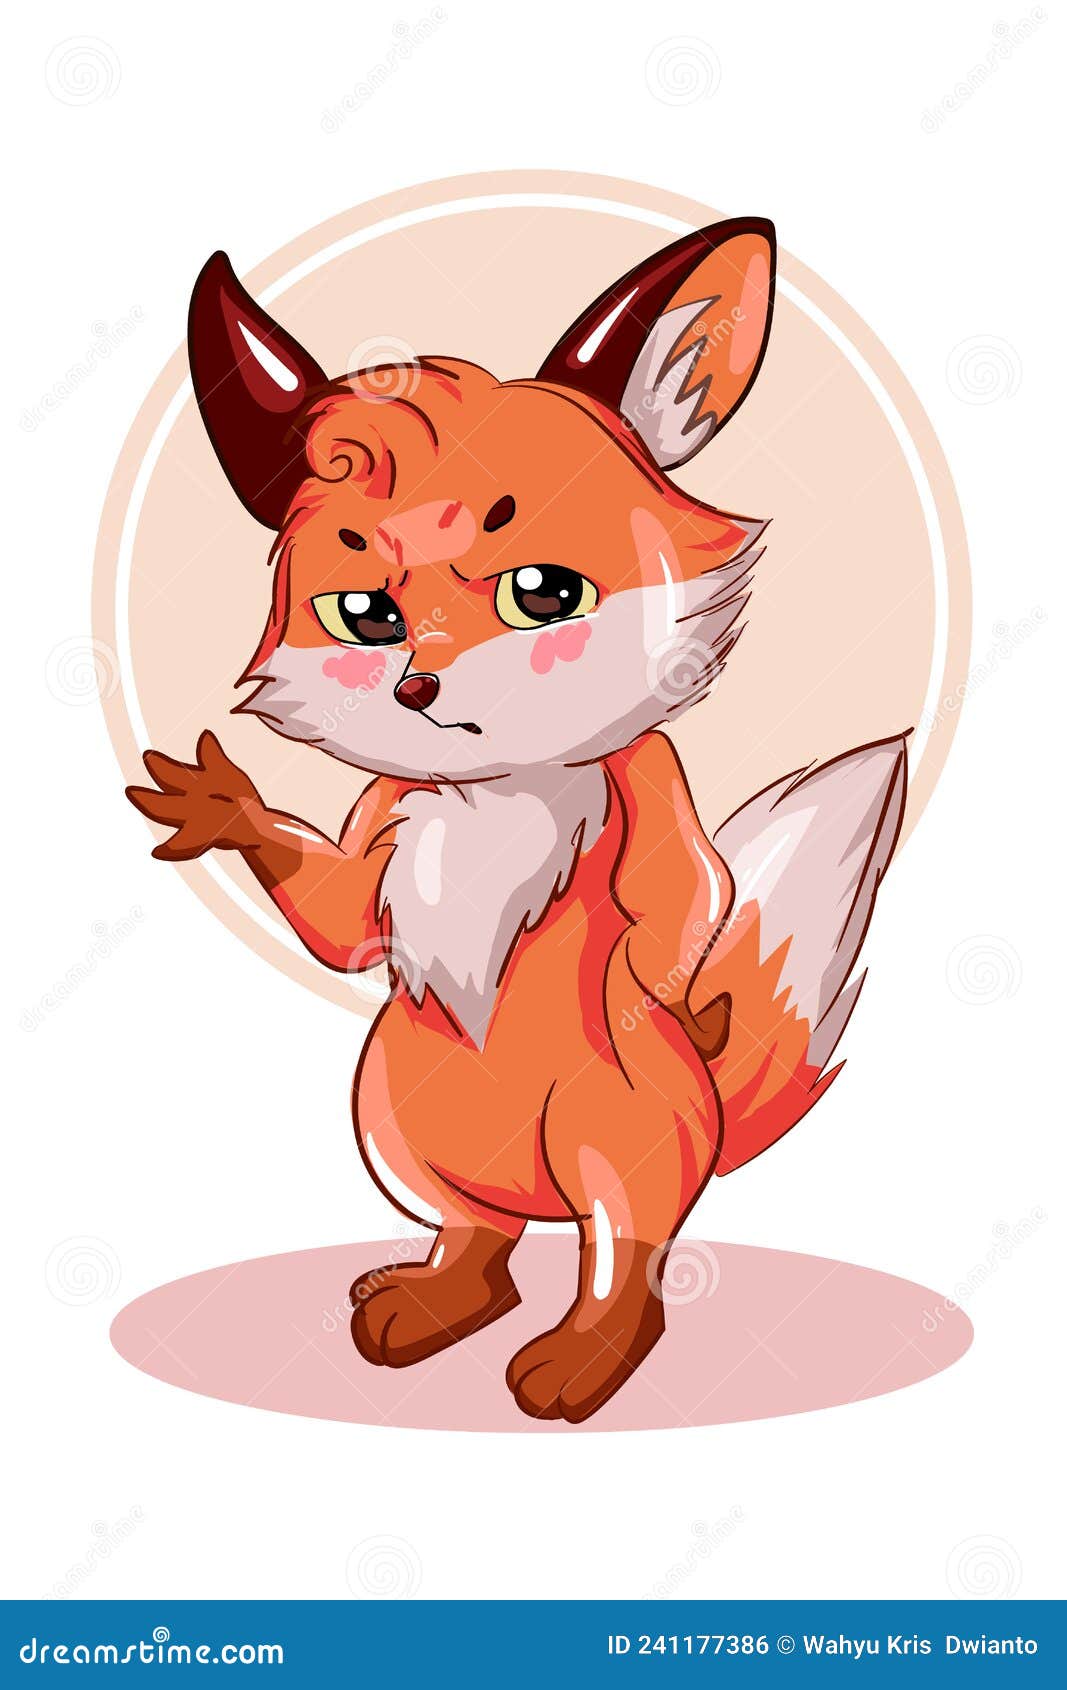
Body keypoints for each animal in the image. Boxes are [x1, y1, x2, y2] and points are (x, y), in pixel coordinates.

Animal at [126, 216, 907, 1423]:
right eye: (365, 613)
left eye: (544, 593)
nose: (417, 687)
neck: (498, 784)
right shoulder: (382, 815)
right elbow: (342, 921)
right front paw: (228, 805)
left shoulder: (652, 789)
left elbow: (691, 901)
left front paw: (677, 989)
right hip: (390, 1120)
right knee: (481, 1245)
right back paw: (434, 1299)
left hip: (610, 1135)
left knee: (624, 1256)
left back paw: (583, 1357)